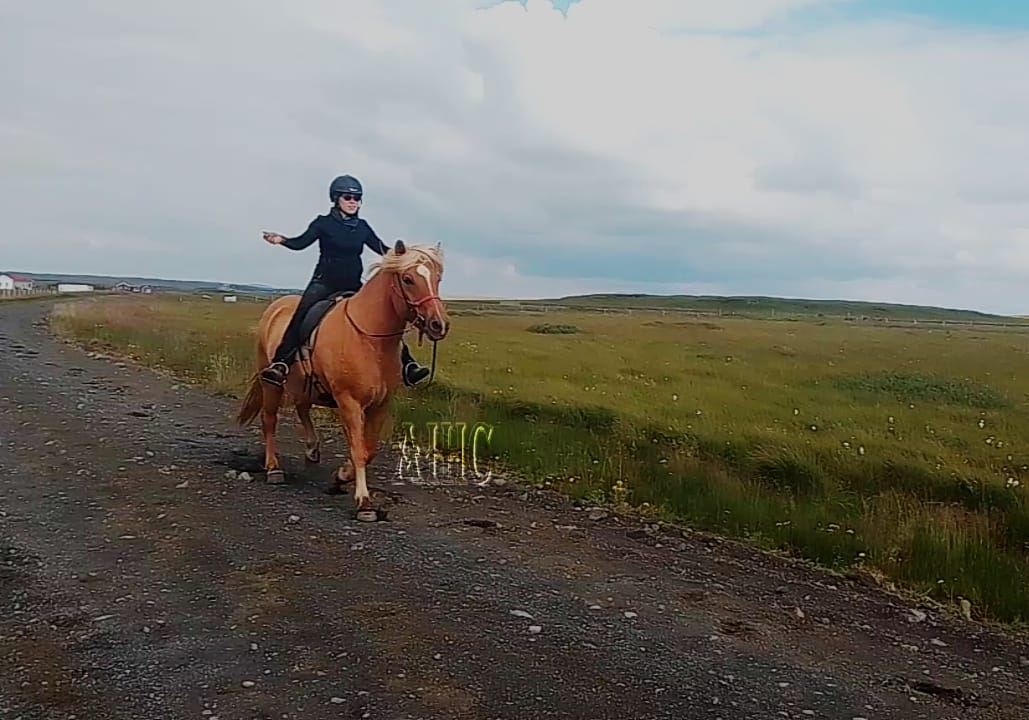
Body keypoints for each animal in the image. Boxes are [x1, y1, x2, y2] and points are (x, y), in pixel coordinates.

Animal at [235, 239, 449, 521]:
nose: (439, 324)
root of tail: (278, 304)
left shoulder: (380, 405)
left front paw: (340, 477)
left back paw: (312, 448)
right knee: (269, 420)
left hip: (304, 385)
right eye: (407, 279)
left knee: (302, 407)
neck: (370, 339)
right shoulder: (349, 402)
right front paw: (364, 502)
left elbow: (369, 450)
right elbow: (358, 449)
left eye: (437, 278)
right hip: (271, 382)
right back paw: (274, 468)